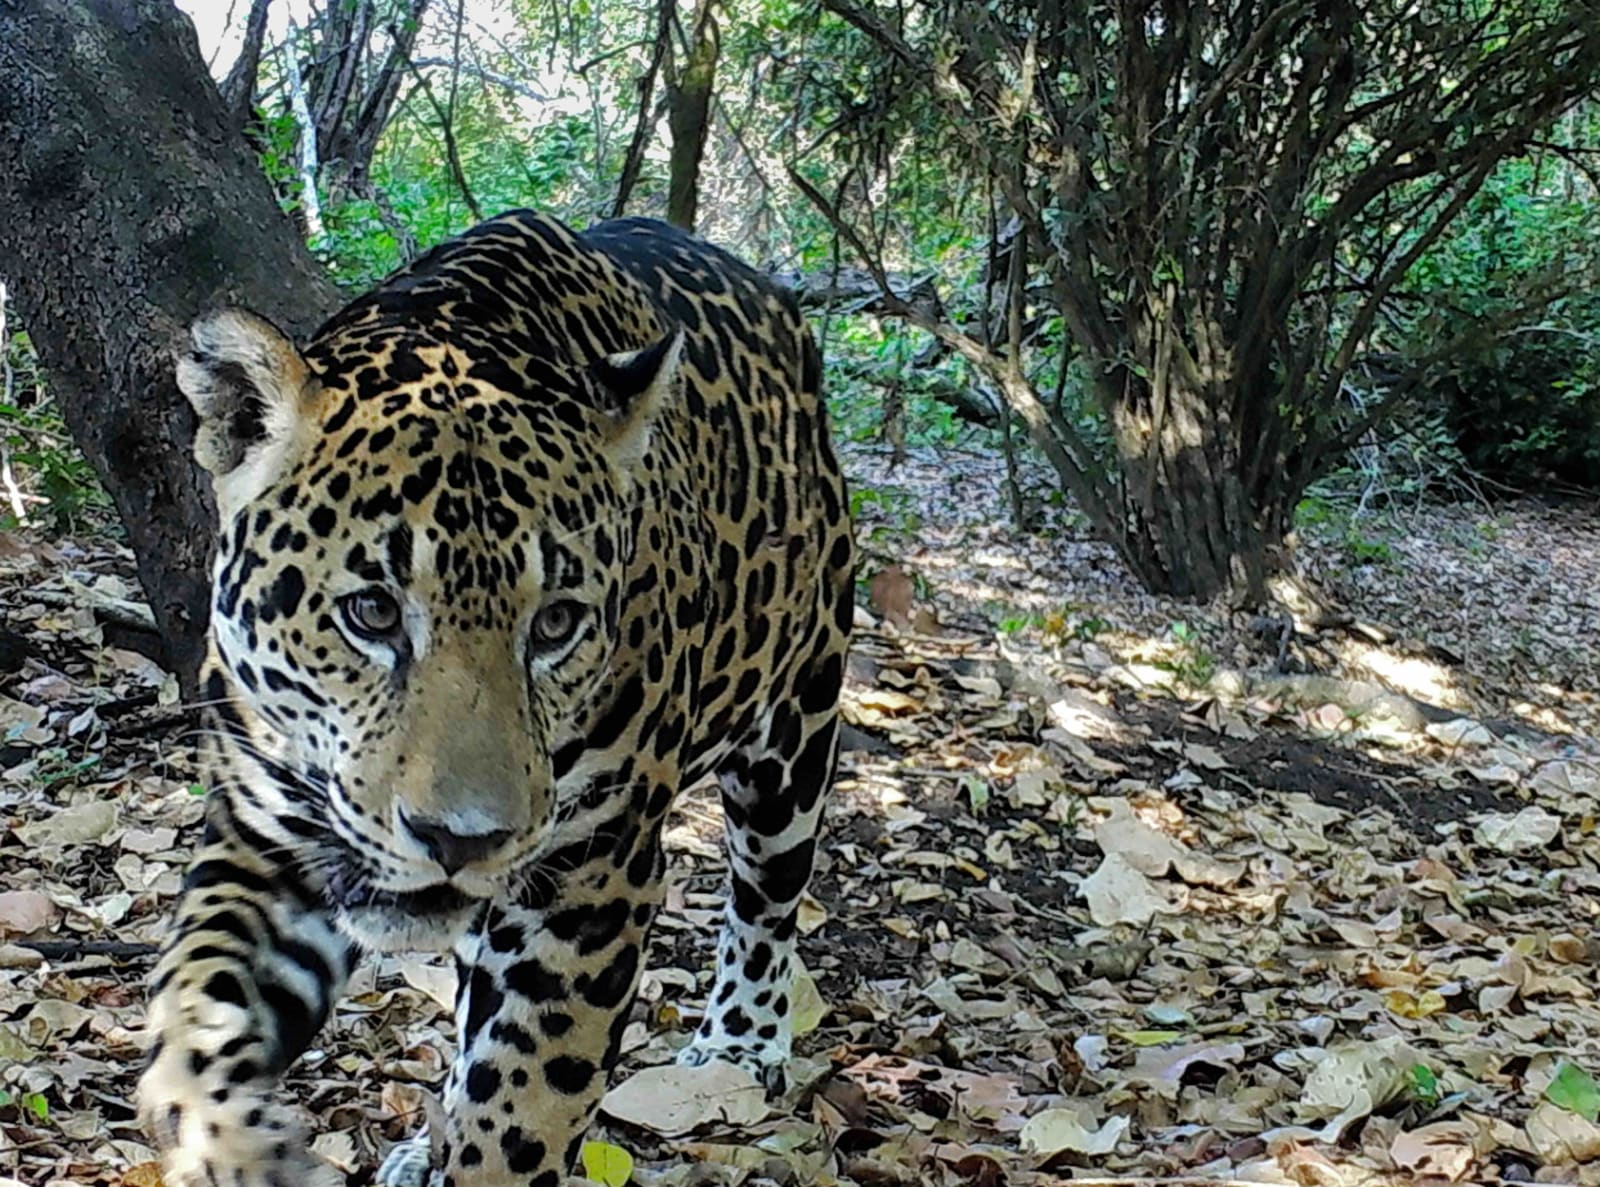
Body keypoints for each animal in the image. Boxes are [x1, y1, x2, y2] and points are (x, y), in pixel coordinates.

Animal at [136, 208, 854, 1187]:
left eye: (555, 624)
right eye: (371, 611)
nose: (460, 840)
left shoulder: (588, 884)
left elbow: (523, 1110)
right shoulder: (265, 840)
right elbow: (198, 1006)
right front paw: (227, 1142)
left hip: (793, 734)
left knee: (767, 899)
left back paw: (741, 1046)